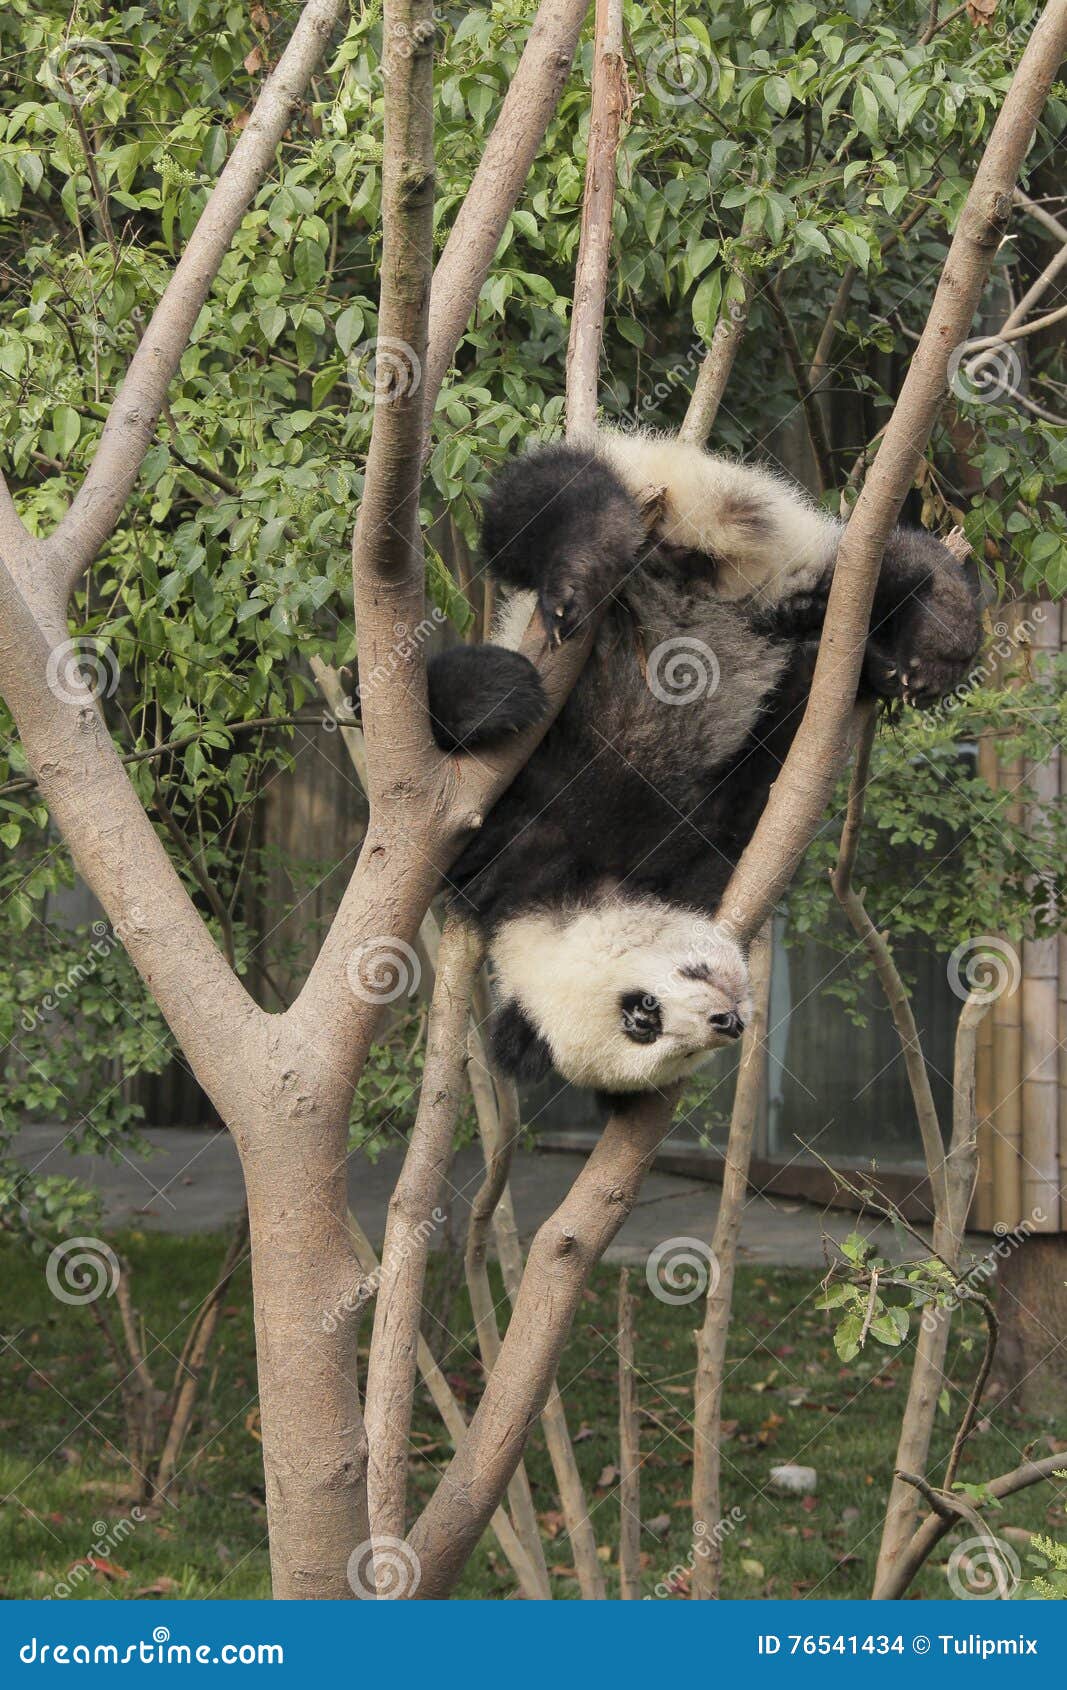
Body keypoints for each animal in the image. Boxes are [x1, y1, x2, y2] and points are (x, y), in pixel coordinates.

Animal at [424, 430, 981, 1100]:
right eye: (653, 1031)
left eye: (640, 1011)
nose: (727, 1021)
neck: (567, 887)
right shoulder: (695, 864)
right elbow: (746, 793)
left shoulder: (524, 817)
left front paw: (495, 694)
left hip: (706, 524)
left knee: (545, 502)